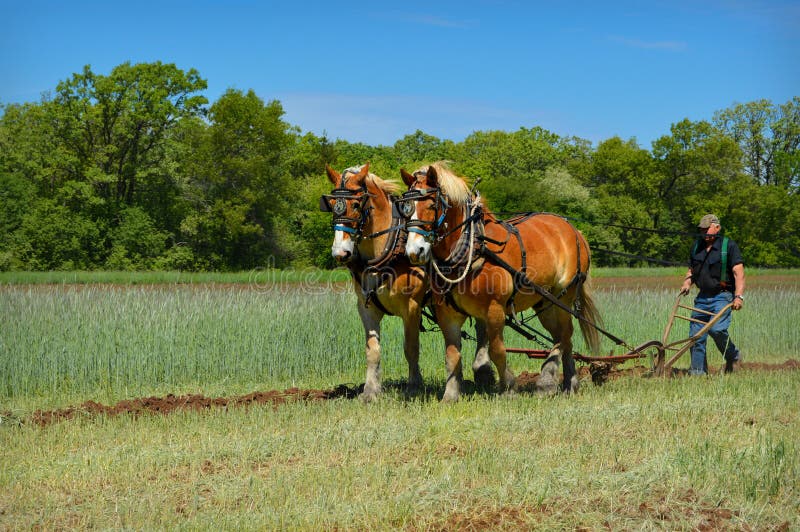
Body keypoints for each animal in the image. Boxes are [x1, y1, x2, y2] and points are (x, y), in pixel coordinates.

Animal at [320, 163, 429, 402]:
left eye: (356, 204)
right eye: (332, 205)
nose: (340, 252)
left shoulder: (412, 307)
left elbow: (411, 347)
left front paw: (414, 385)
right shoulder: (366, 307)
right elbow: (372, 349)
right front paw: (370, 390)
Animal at [400, 162, 603, 401]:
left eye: (432, 204)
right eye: (406, 207)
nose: (415, 251)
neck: (473, 246)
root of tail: (574, 230)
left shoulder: (495, 309)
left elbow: (497, 351)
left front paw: (509, 387)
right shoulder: (447, 313)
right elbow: (452, 354)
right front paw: (450, 396)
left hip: (564, 296)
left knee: (565, 334)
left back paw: (548, 381)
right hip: (544, 302)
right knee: (563, 338)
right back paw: (568, 382)